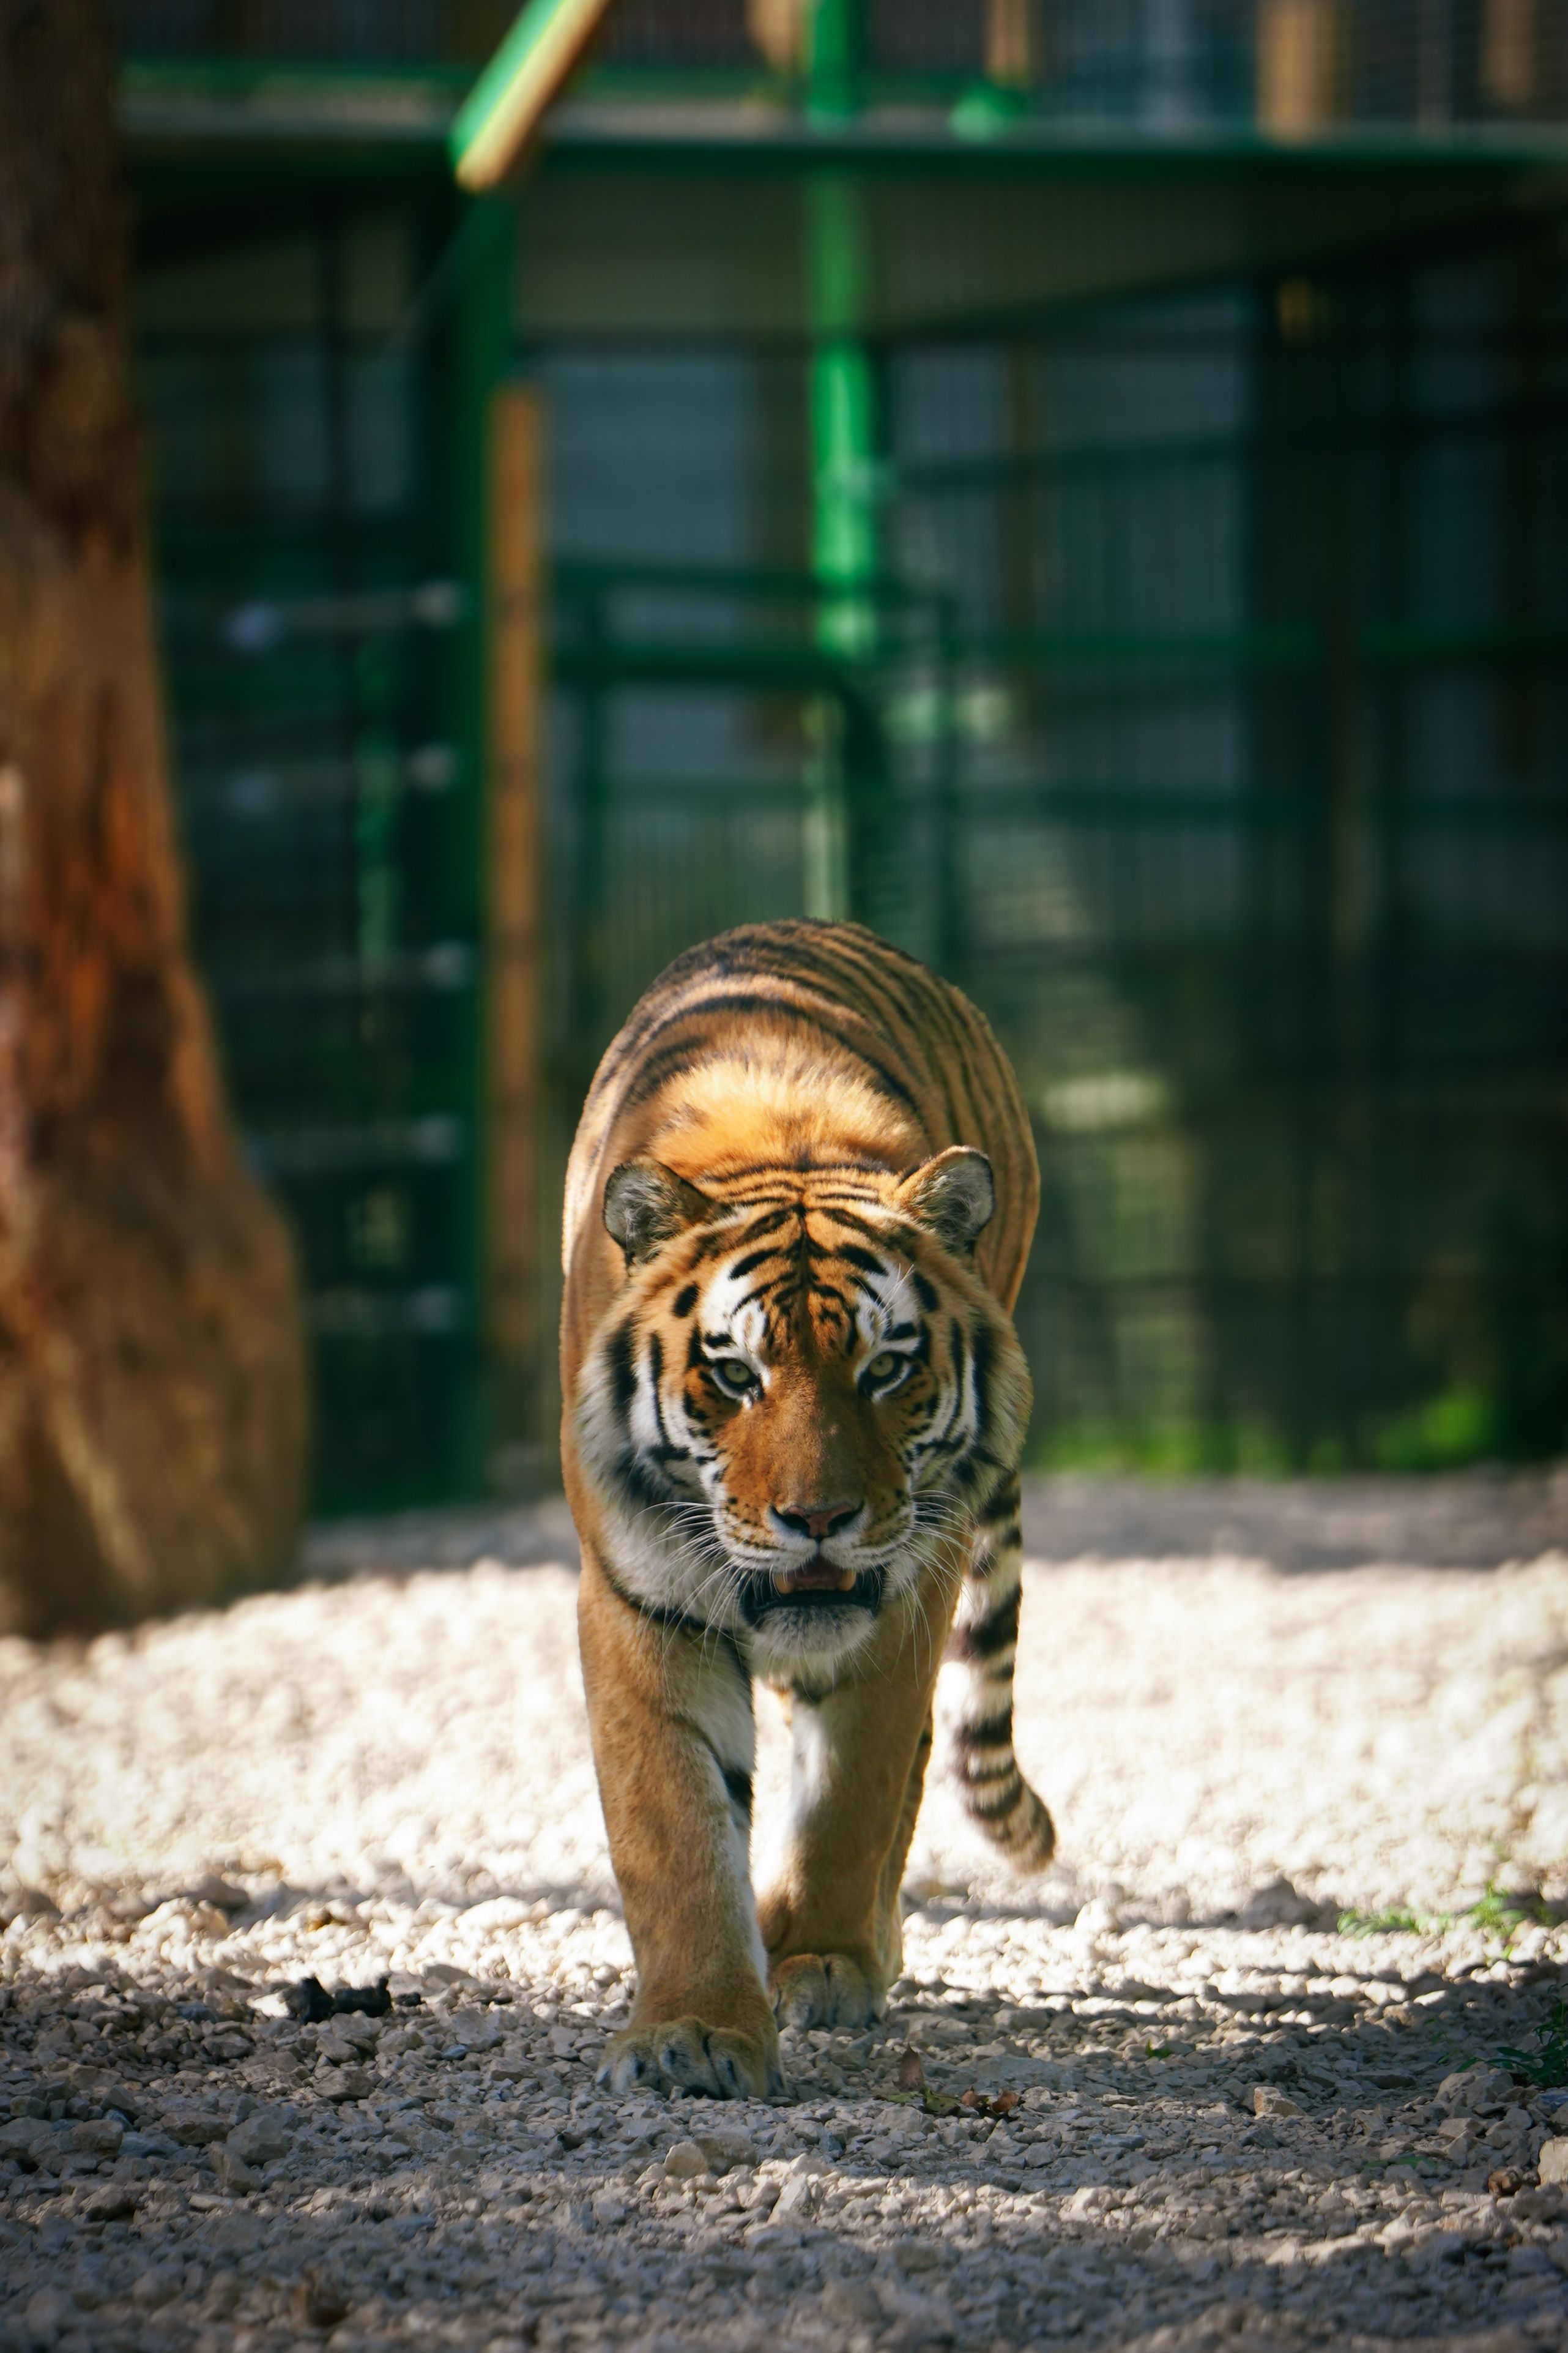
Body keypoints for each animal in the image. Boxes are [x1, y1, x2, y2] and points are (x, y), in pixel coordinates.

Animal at [560, 919, 1054, 2101]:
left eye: (885, 1369)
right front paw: (694, 2033)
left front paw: (822, 1961)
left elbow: (853, 1790)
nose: (817, 1518)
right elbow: (674, 1829)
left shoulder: (904, 1595)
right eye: (735, 1375)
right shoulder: (640, 1603)